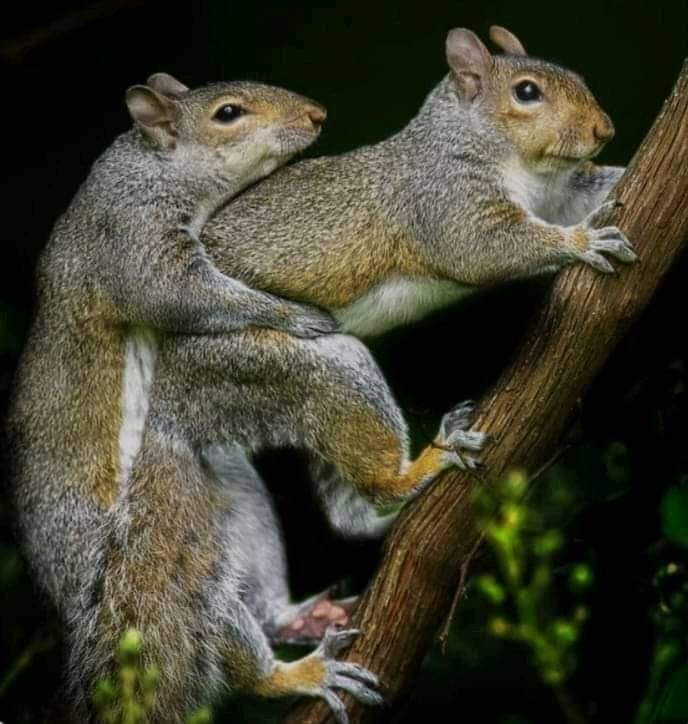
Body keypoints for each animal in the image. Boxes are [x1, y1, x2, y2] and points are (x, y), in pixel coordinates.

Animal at [5, 75, 362, 722]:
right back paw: (289, 676)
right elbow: (181, 294)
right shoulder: (133, 239)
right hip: (148, 564)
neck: (148, 167)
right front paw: (290, 312)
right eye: (228, 113)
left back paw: (297, 618)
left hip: (233, 496)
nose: (317, 114)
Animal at [58, 25, 636, 722]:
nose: (604, 127)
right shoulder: (444, 203)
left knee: (346, 506)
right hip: (298, 366)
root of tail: (159, 413)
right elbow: (487, 248)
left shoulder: (561, 190)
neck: (512, 159)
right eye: (527, 93)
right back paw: (418, 472)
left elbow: (590, 189)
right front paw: (579, 243)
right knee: (367, 458)